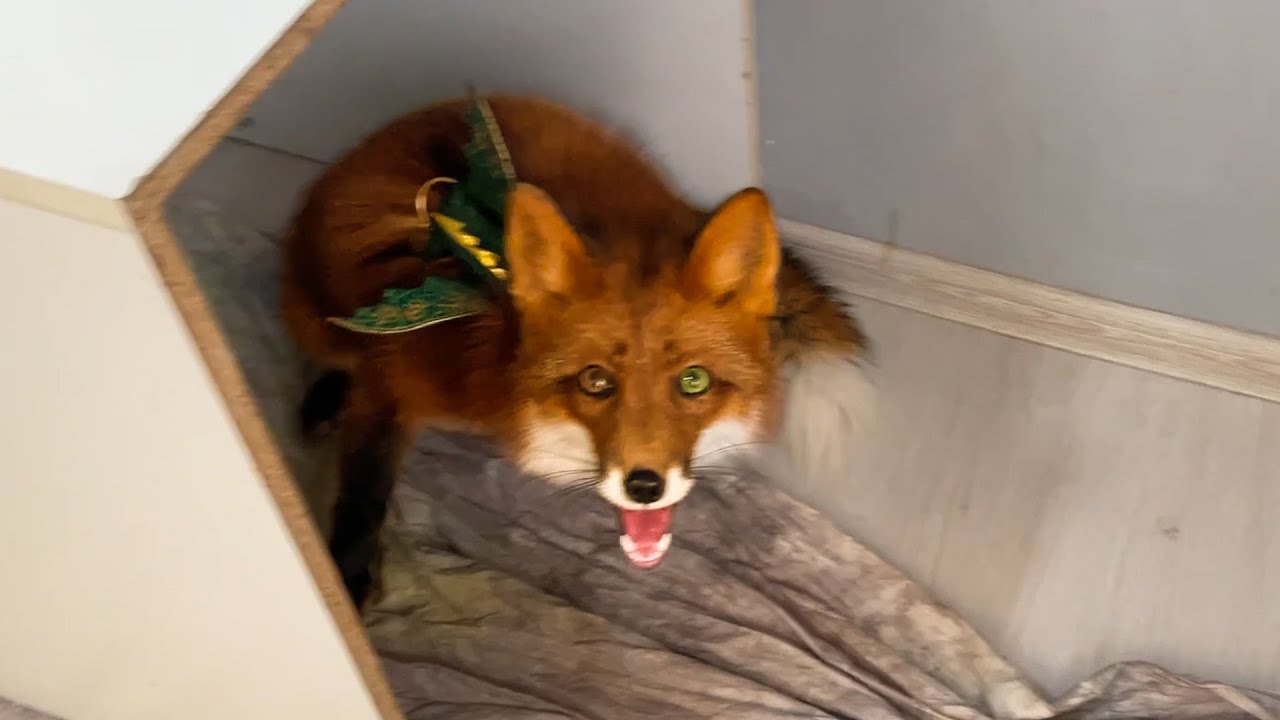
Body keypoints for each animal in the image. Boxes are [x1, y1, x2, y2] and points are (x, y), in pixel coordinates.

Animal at [280, 94, 873, 606]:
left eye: (693, 381)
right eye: (595, 381)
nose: (644, 487)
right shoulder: (388, 378)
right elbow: (364, 489)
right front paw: (347, 579)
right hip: (314, 317)